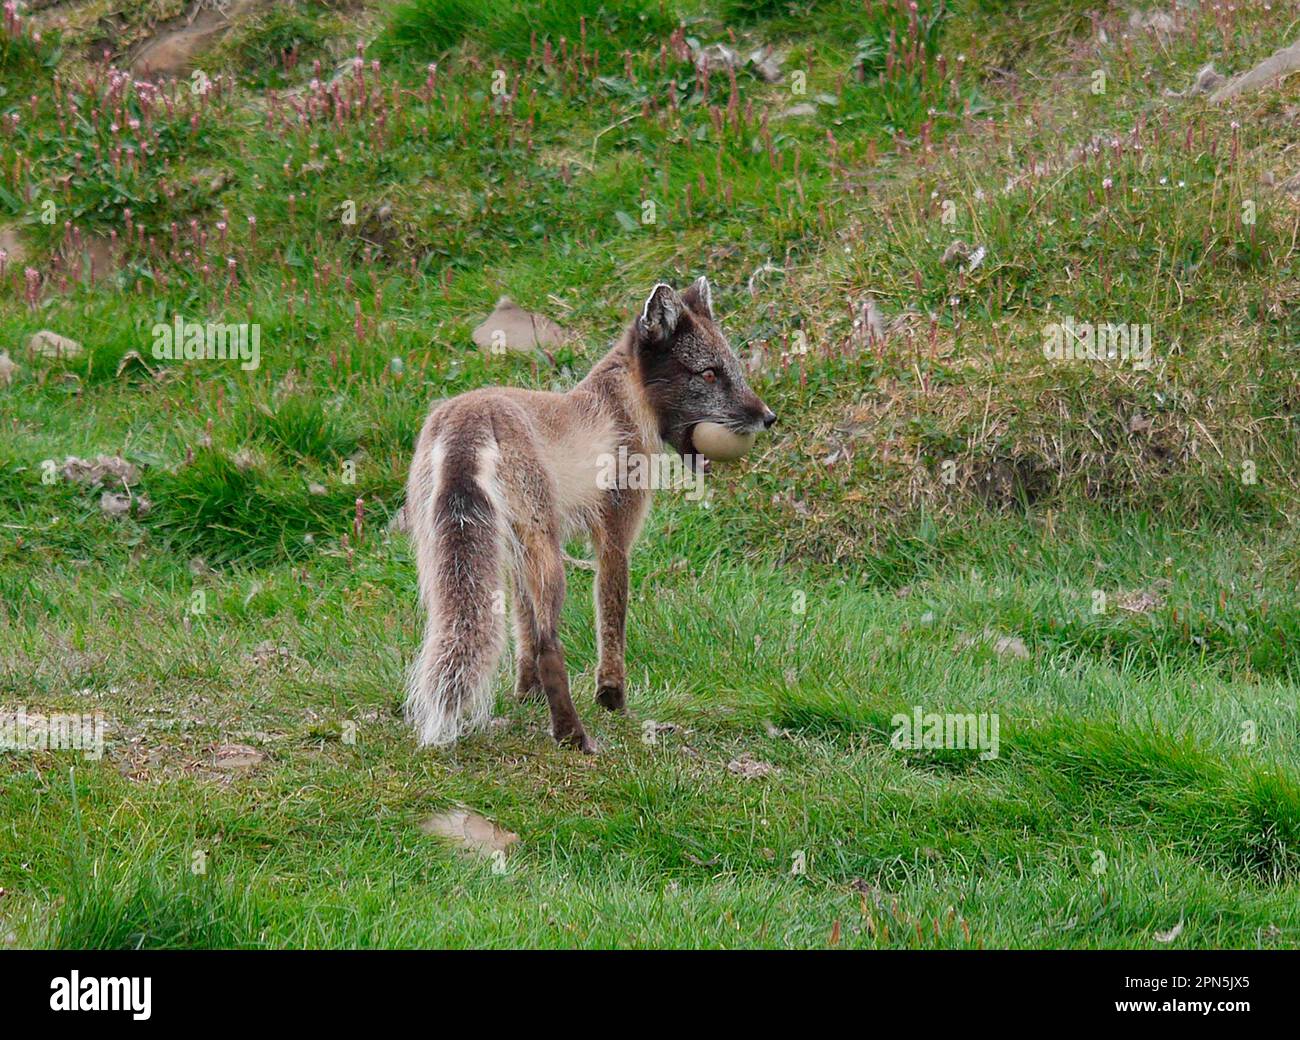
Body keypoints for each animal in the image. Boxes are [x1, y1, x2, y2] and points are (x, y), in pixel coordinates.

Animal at [403, 277, 776, 752]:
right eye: (709, 374)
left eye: (735, 369)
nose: (768, 417)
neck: (620, 405)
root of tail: (467, 418)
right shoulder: (614, 539)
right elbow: (611, 623)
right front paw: (612, 698)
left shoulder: (515, 557)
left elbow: (523, 635)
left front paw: (525, 696)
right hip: (549, 557)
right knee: (550, 645)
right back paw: (572, 735)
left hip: (450, 561)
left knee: (502, 636)